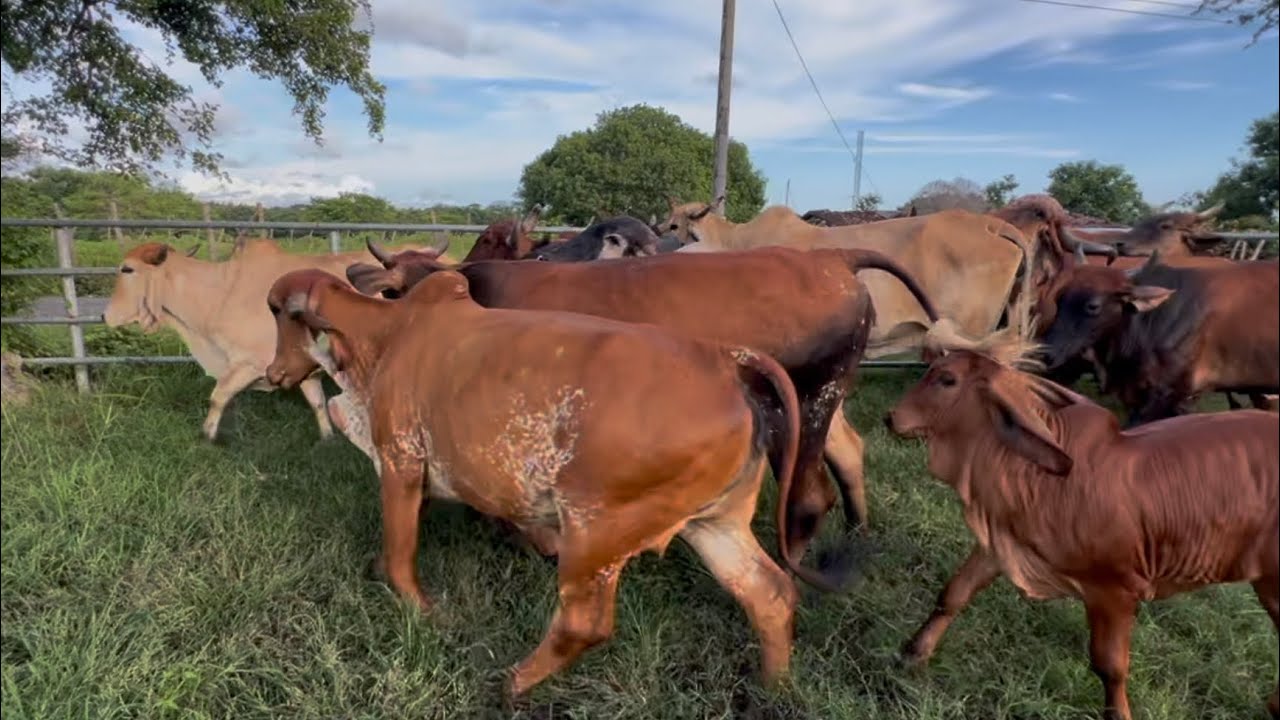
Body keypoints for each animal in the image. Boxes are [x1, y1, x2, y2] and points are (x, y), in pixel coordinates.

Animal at [100, 237, 446, 441]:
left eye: (127, 269)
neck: (220, 292)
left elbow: (218, 396)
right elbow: (317, 402)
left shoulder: (248, 364)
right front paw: (327, 439)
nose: (104, 316)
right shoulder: (301, 364)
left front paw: (207, 437)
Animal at [262, 267, 841, 700]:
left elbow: (402, 552)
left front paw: (420, 611)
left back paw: (512, 685)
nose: (273, 374)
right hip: (714, 522)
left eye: (278, 314)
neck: (385, 339)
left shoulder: (401, 460)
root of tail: (726, 360)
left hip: (596, 531)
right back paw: (771, 687)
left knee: (582, 624)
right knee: (769, 593)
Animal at [345, 241, 938, 559]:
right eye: (395, 292)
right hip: (822, 401)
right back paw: (857, 536)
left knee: (813, 492)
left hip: (811, 402)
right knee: (848, 455)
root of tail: (830, 254)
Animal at [883, 325, 1279, 720]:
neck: (1038, 477)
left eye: (947, 380)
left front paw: (1118, 713)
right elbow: (953, 594)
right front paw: (912, 655)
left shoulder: (1114, 590)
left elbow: (1110, 665)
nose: (891, 417)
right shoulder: (1000, 544)